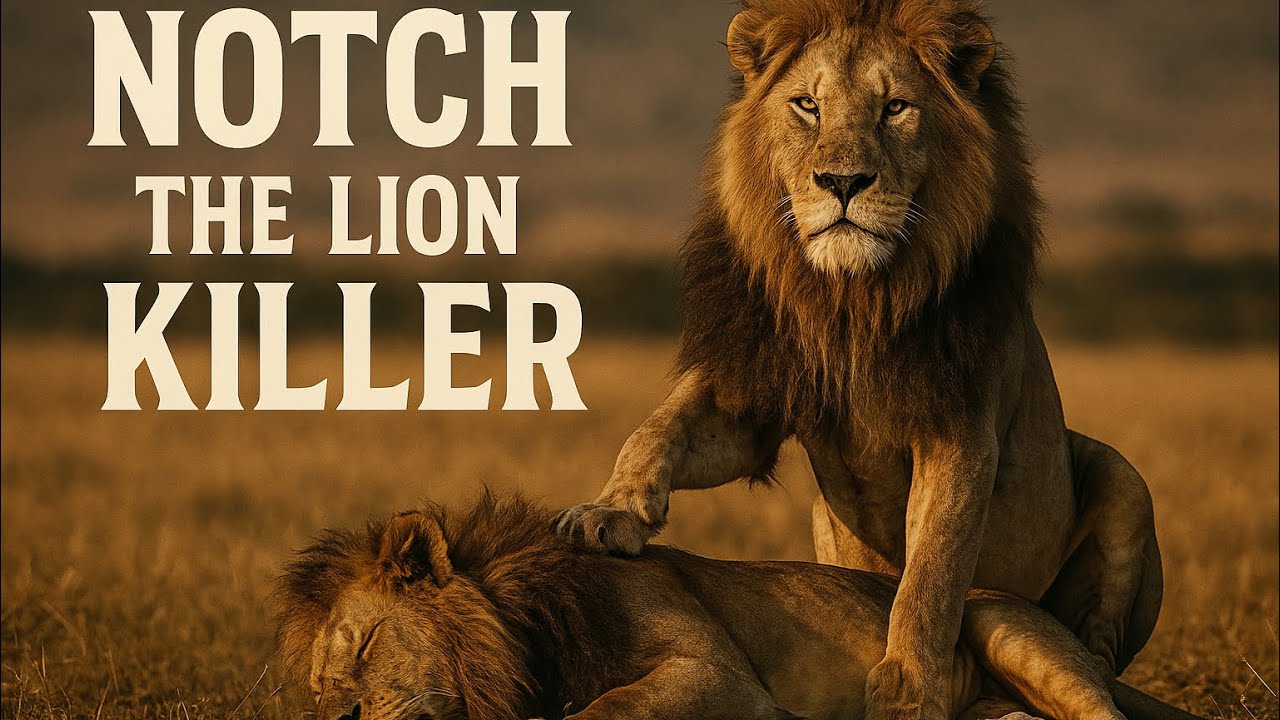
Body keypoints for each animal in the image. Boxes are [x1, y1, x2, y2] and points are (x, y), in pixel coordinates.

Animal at [555, 1, 1166, 718]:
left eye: (895, 107)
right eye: (808, 106)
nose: (842, 182)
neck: (851, 301)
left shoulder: (960, 431)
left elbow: (931, 575)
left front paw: (907, 690)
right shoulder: (755, 400)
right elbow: (660, 426)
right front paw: (611, 512)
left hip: (1124, 483)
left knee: (1097, 653)